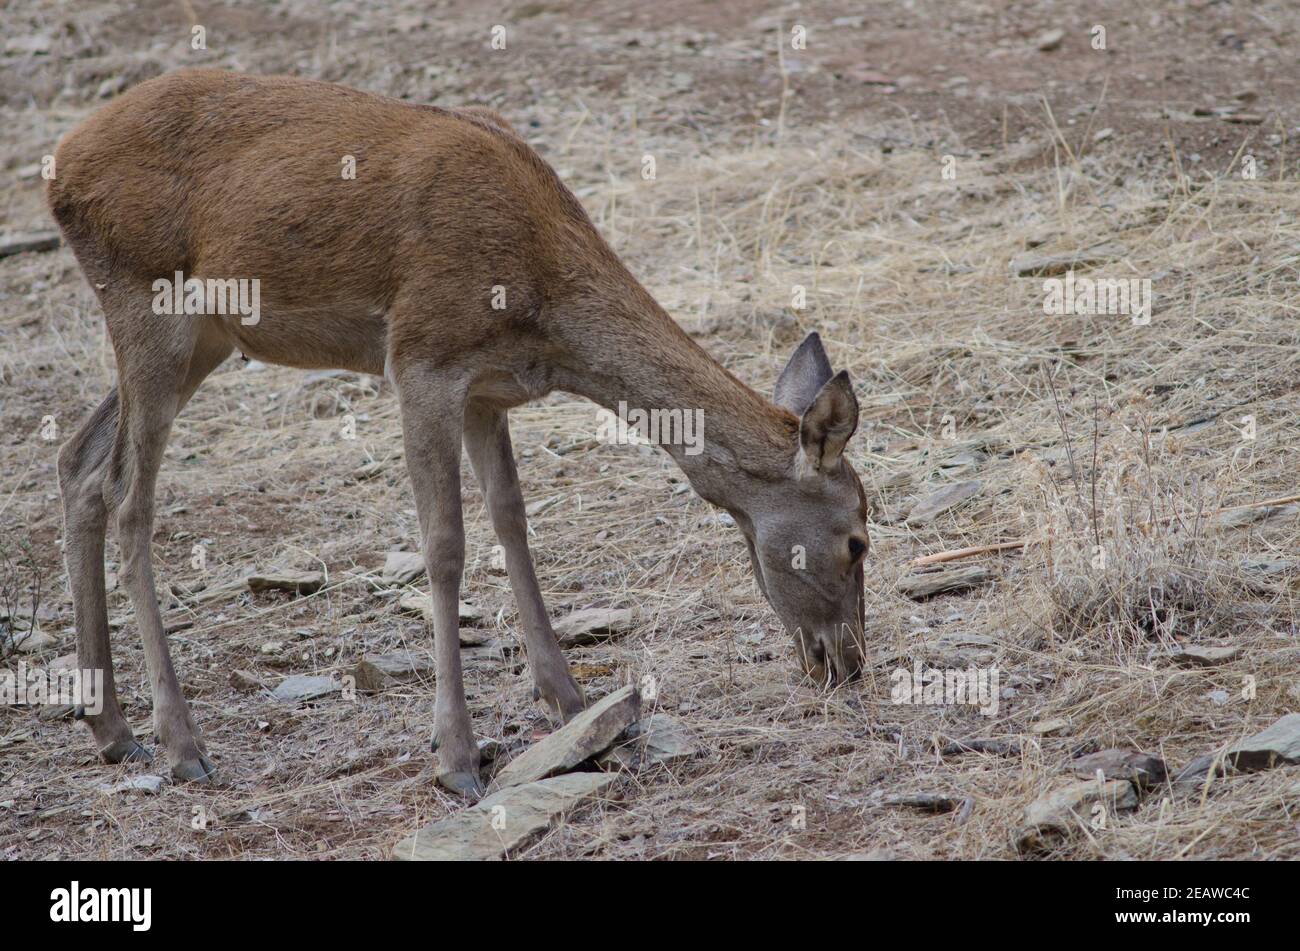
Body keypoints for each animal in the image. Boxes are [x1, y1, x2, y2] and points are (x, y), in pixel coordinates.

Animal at [48, 69, 869, 797]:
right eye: (859, 539)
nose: (847, 661)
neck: (541, 300)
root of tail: (58, 172)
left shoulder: (487, 391)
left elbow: (512, 518)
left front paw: (570, 700)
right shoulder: (421, 358)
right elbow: (443, 546)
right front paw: (457, 757)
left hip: (203, 337)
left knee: (78, 459)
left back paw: (111, 728)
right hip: (146, 301)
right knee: (129, 497)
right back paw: (181, 743)